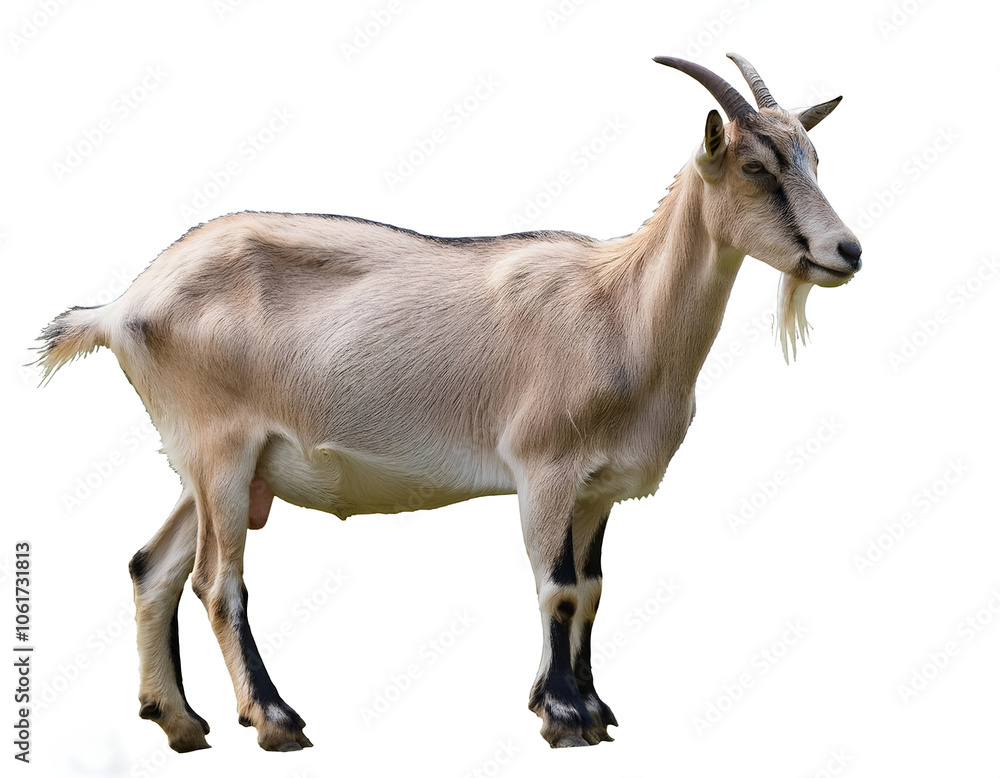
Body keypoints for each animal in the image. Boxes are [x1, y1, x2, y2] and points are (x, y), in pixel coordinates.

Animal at [37, 53, 860, 752]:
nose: (846, 251)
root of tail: (124, 306)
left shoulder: (597, 490)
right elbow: (558, 588)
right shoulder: (544, 469)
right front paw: (562, 717)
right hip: (221, 450)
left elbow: (593, 589)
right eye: (754, 166)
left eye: (814, 159)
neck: (621, 308)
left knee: (152, 567)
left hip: (203, 467)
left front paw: (592, 708)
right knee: (217, 581)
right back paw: (274, 719)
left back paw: (179, 722)